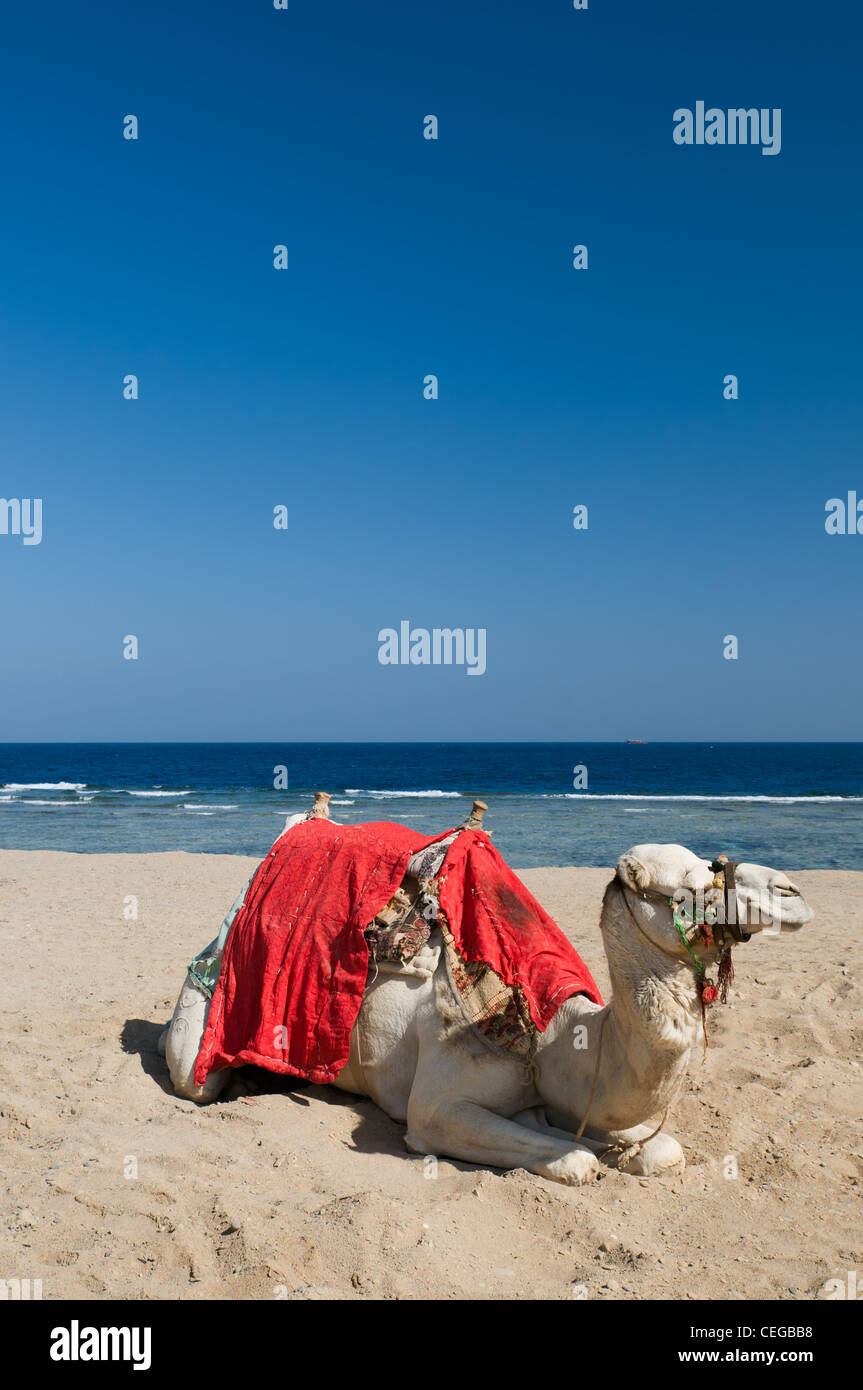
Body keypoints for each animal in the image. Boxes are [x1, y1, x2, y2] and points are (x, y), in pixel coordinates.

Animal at [163, 805, 814, 1185]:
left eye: (709, 861)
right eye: (688, 886)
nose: (791, 891)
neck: (553, 1038)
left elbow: (659, 1148)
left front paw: (624, 1150)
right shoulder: (436, 1108)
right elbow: (574, 1159)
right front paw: (582, 1157)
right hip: (206, 1015)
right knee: (193, 1074)